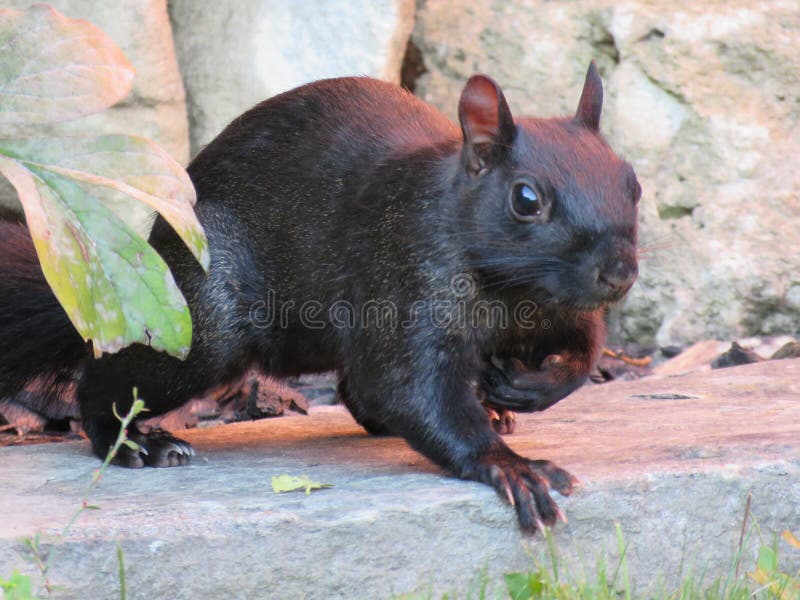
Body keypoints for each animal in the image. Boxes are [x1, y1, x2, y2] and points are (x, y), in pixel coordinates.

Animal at [0, 61, 639, 533]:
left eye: (631, 181)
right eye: (526, 198)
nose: (621, 271)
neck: (516, 294)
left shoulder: (566, 309)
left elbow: (584, 353)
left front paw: (527, 388)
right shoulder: (405, 278)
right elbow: (411, 390)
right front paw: (507, 466)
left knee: (354, 388)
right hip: (203, 318)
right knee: (104, 384)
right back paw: (133, 442)